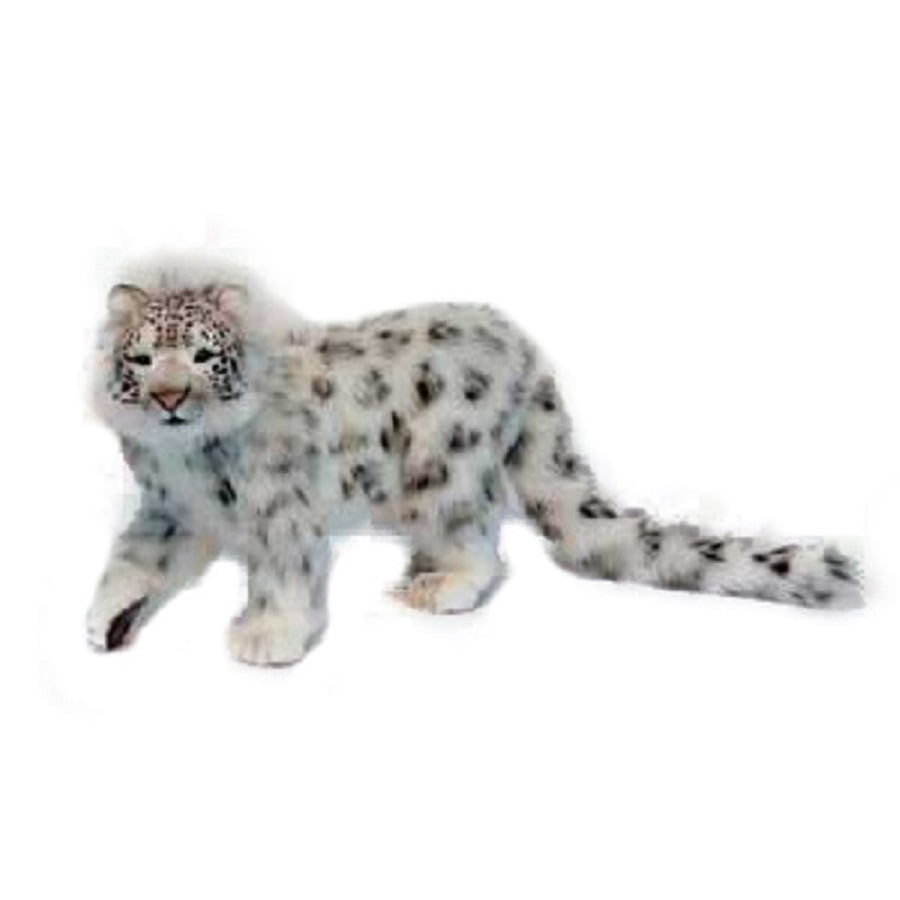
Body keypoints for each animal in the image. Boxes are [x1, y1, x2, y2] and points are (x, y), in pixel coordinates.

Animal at [87, 258, 862, 666]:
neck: (189, 460)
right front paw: (105, 618)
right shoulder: (169, 510)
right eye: (142, 358)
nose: (169, 399)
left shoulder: (282, 511)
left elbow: (283, 574)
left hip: (442, 473)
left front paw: (265, 636)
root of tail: (524, 349)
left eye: (203, 355)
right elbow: (135, 559)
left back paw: (437, 584)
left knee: (480, 547)